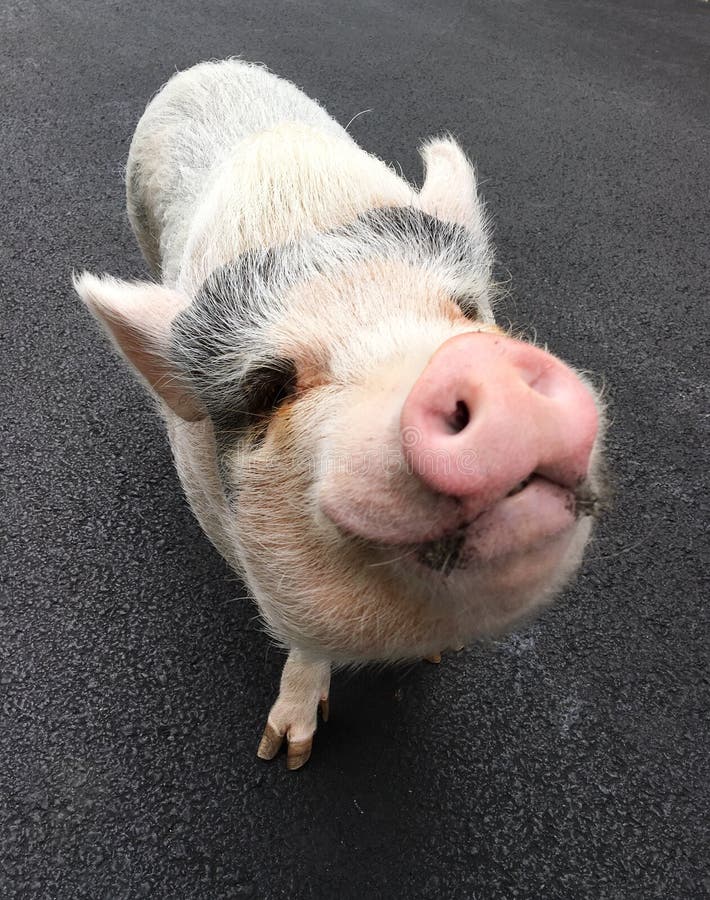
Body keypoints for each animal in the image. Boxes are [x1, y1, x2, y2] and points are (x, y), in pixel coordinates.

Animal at [74, 59, 609, 770]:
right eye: (269, 388)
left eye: (467, 311)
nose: (477, 366)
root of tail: (211, 65)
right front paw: (284, 753)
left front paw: (443, 657)